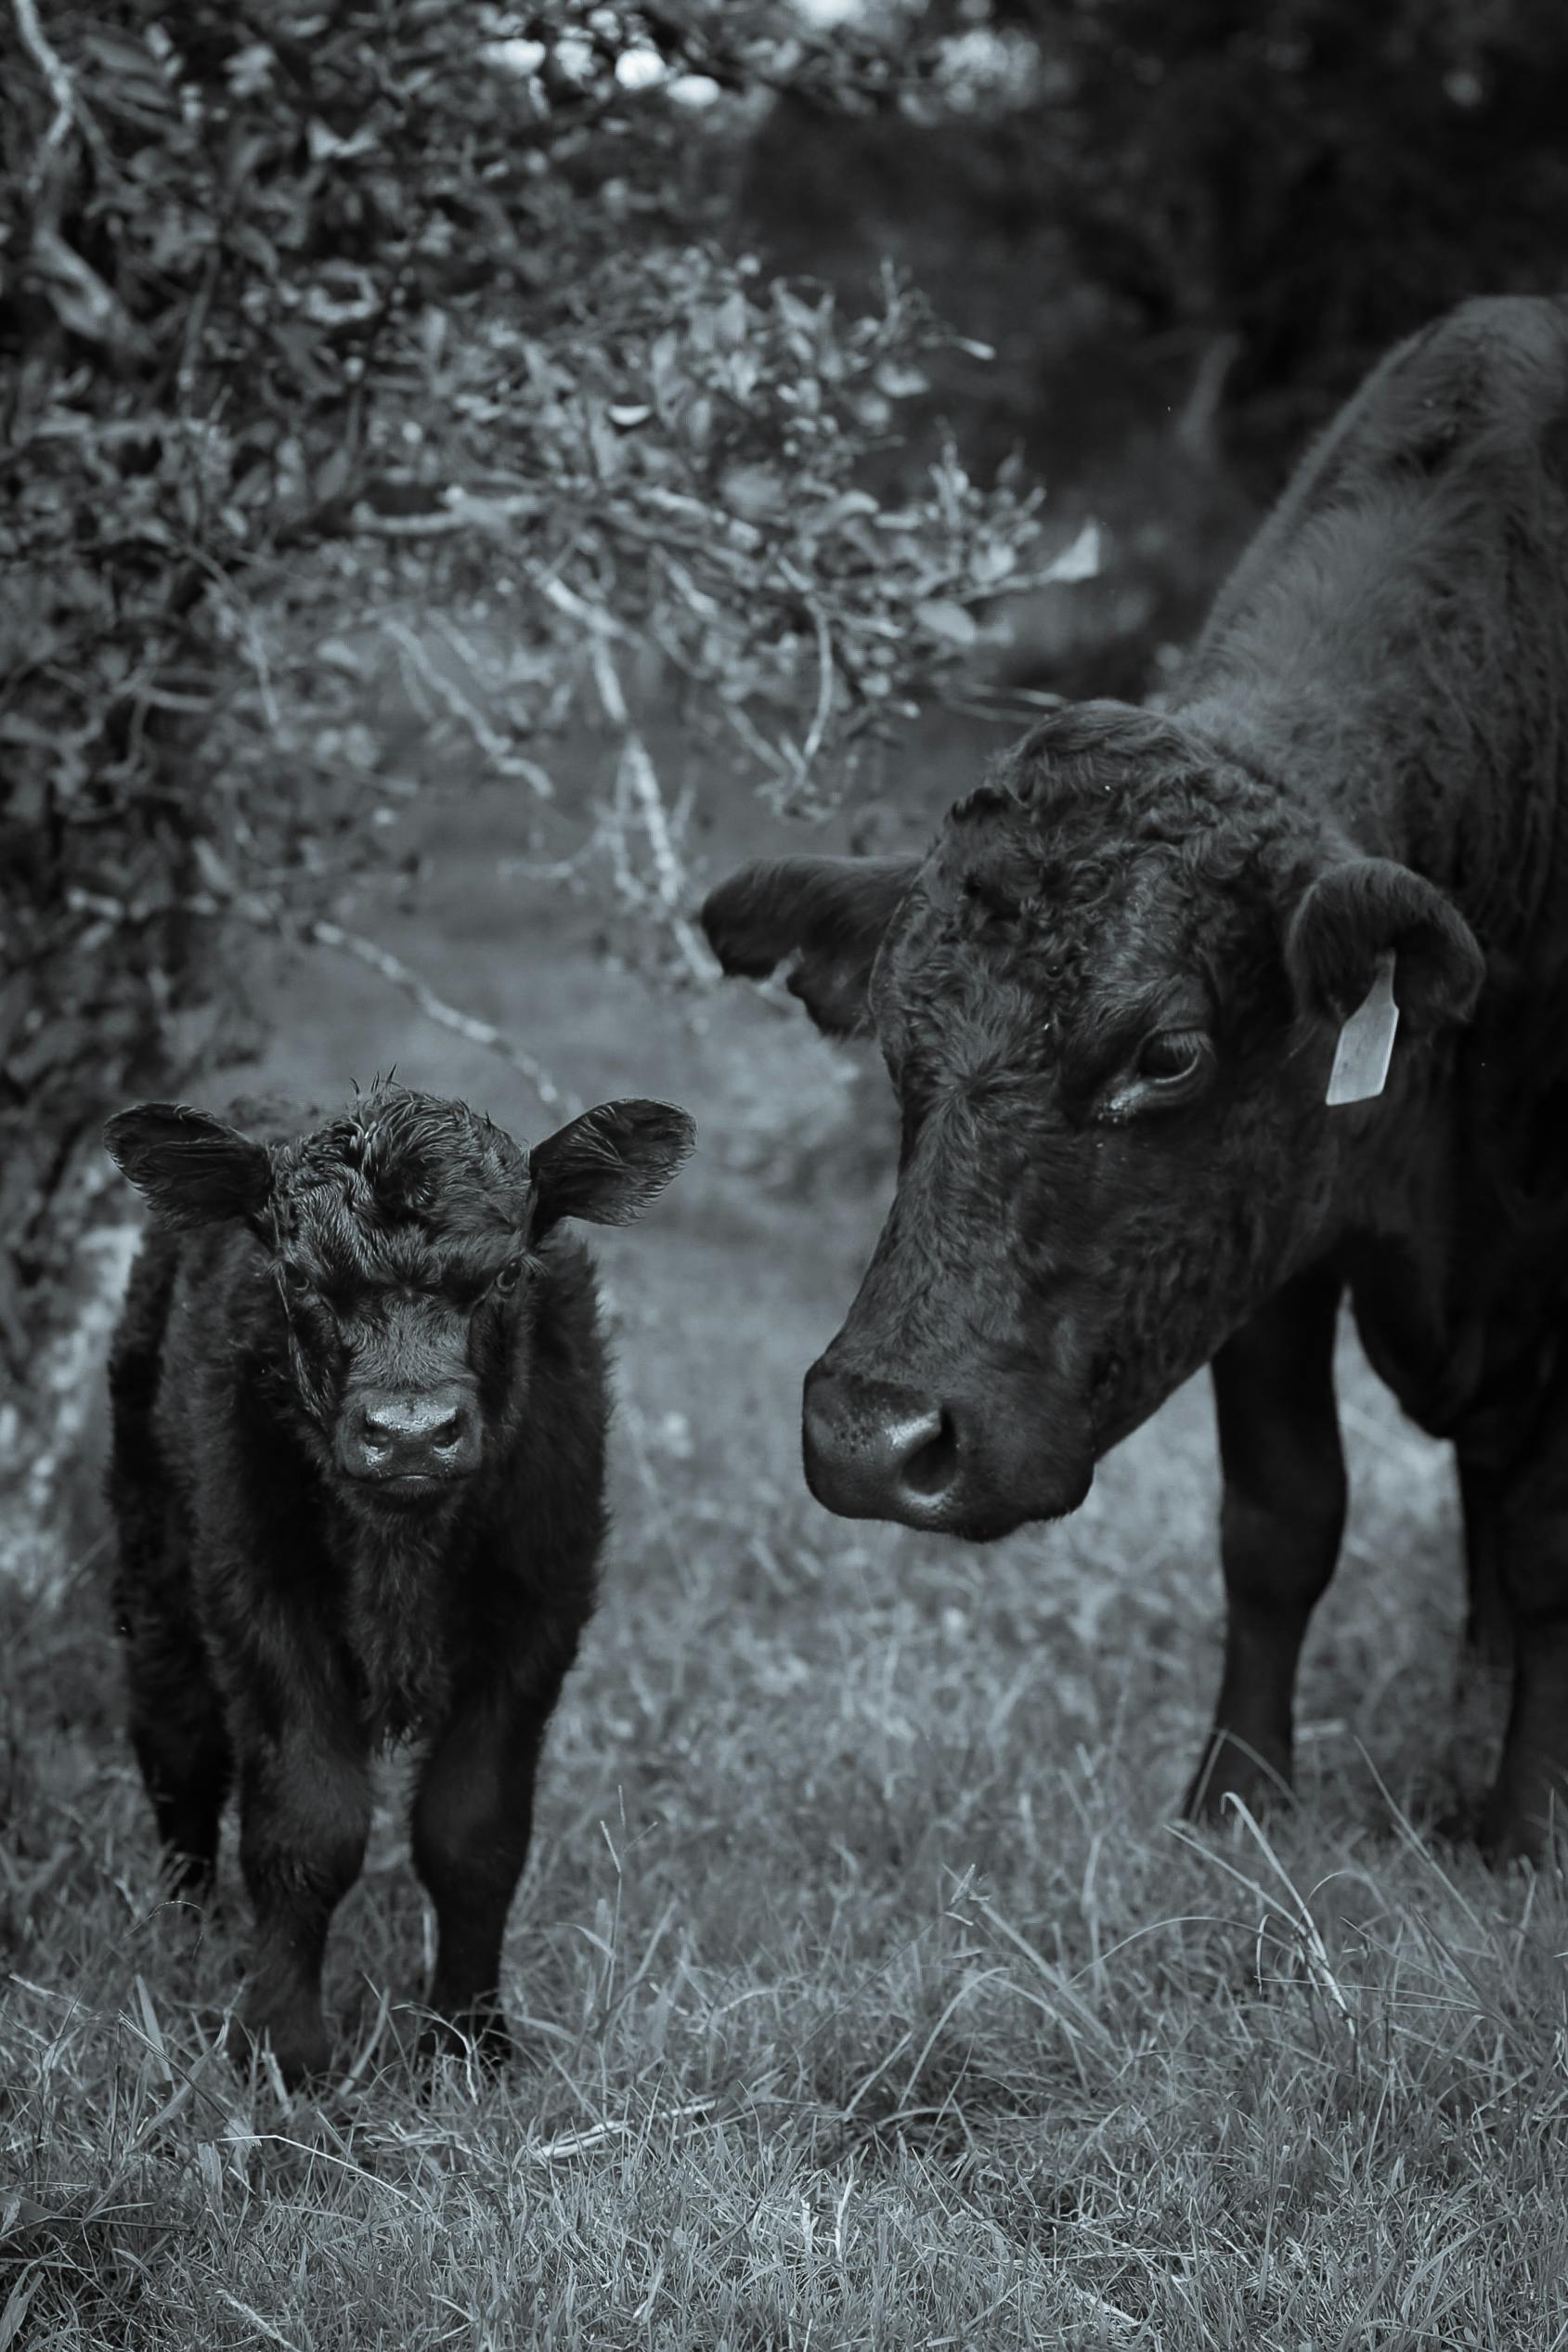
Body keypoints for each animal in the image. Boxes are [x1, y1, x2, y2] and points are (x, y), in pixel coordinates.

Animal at [103, 1081, 695, 2084]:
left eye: (507, 1276)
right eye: (300, 1279)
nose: (411, 1432)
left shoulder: (540, 1614)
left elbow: (474, 1835)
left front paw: (468, 2039)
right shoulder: (256, 1595)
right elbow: (308, 1823)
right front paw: (283, 2047)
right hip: (157, 1565)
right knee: (177, 1740)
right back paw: (189, 1930)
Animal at [702, 294, 1568, 1864]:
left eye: (1166, 1052)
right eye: (895, 1038)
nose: (871, 1437)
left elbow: (1545, 1549)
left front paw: (1529, 1826)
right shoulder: (1271, 1243)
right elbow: (1282, 1520)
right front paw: (1233, 1801)